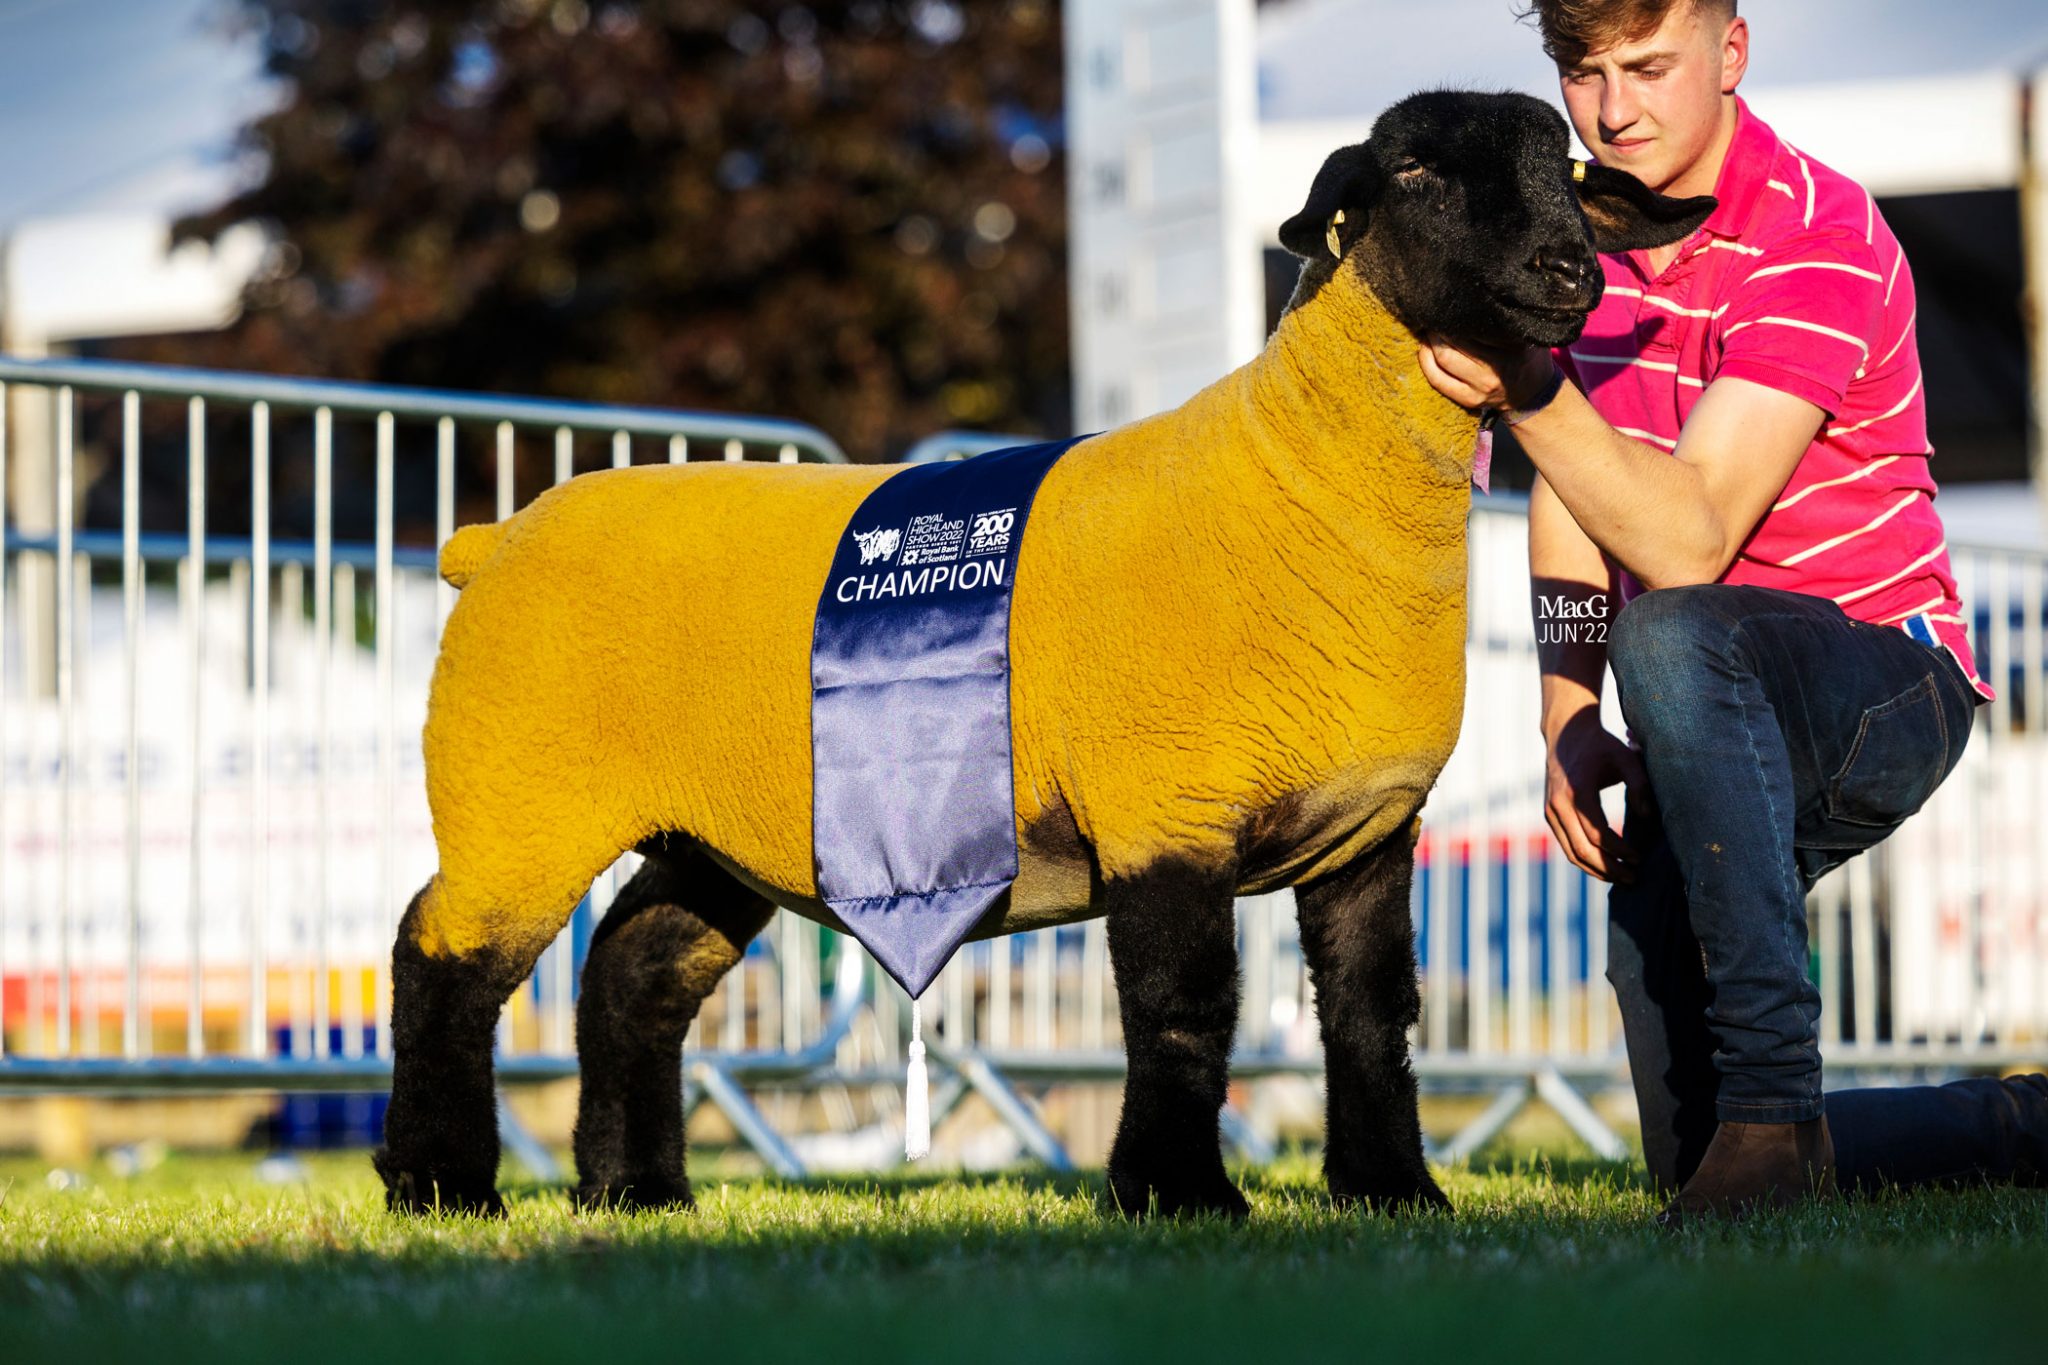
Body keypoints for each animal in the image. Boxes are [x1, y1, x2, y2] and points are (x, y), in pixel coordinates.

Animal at [373, 90, 1715, 1219]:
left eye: (1565, 173)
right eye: (1416, 172)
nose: (1567, 270)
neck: (1296, 477)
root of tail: (495, 539)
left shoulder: (1370, 829)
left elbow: (1371, 1015)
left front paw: (1390, 1193)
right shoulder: (1165, 805)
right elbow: (1182, 1010)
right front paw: (1176, 1195)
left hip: (705, 835)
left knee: (631, 978)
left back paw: (632, 1193)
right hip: (516, 791)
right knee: (444, 960)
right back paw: (443, 1187)